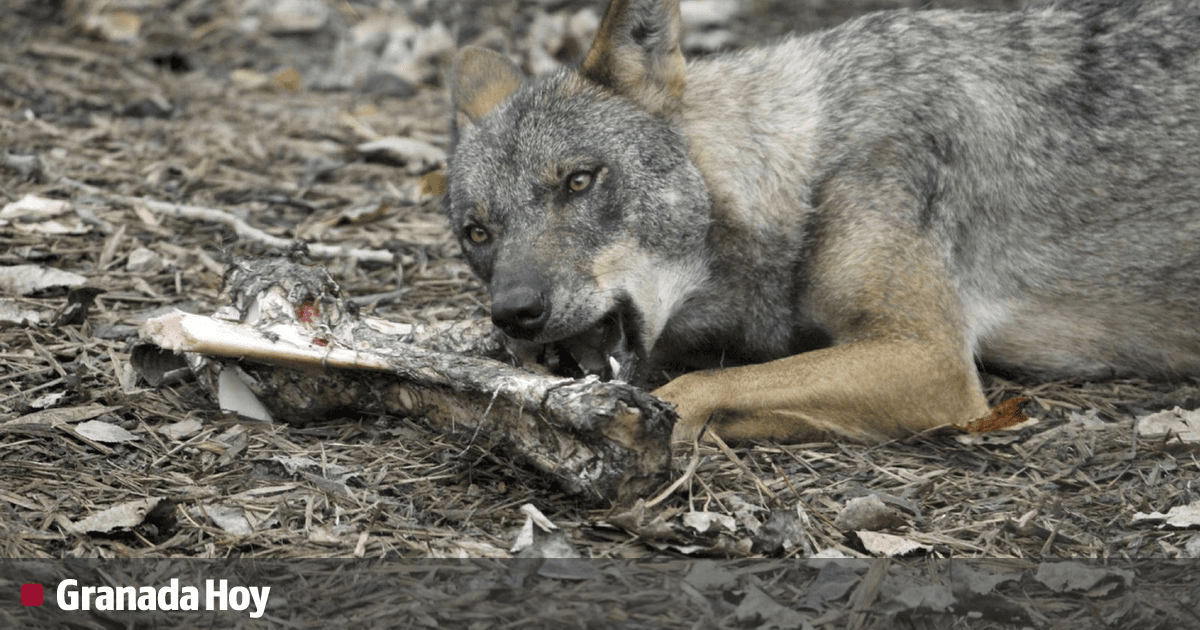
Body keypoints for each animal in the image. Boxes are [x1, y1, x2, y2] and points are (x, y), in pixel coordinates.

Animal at [443, 0, 1200, 443]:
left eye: (579, 180)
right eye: (477, 233)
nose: (515, 313)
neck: (806, 166)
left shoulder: (930, 359)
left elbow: (702, 387)